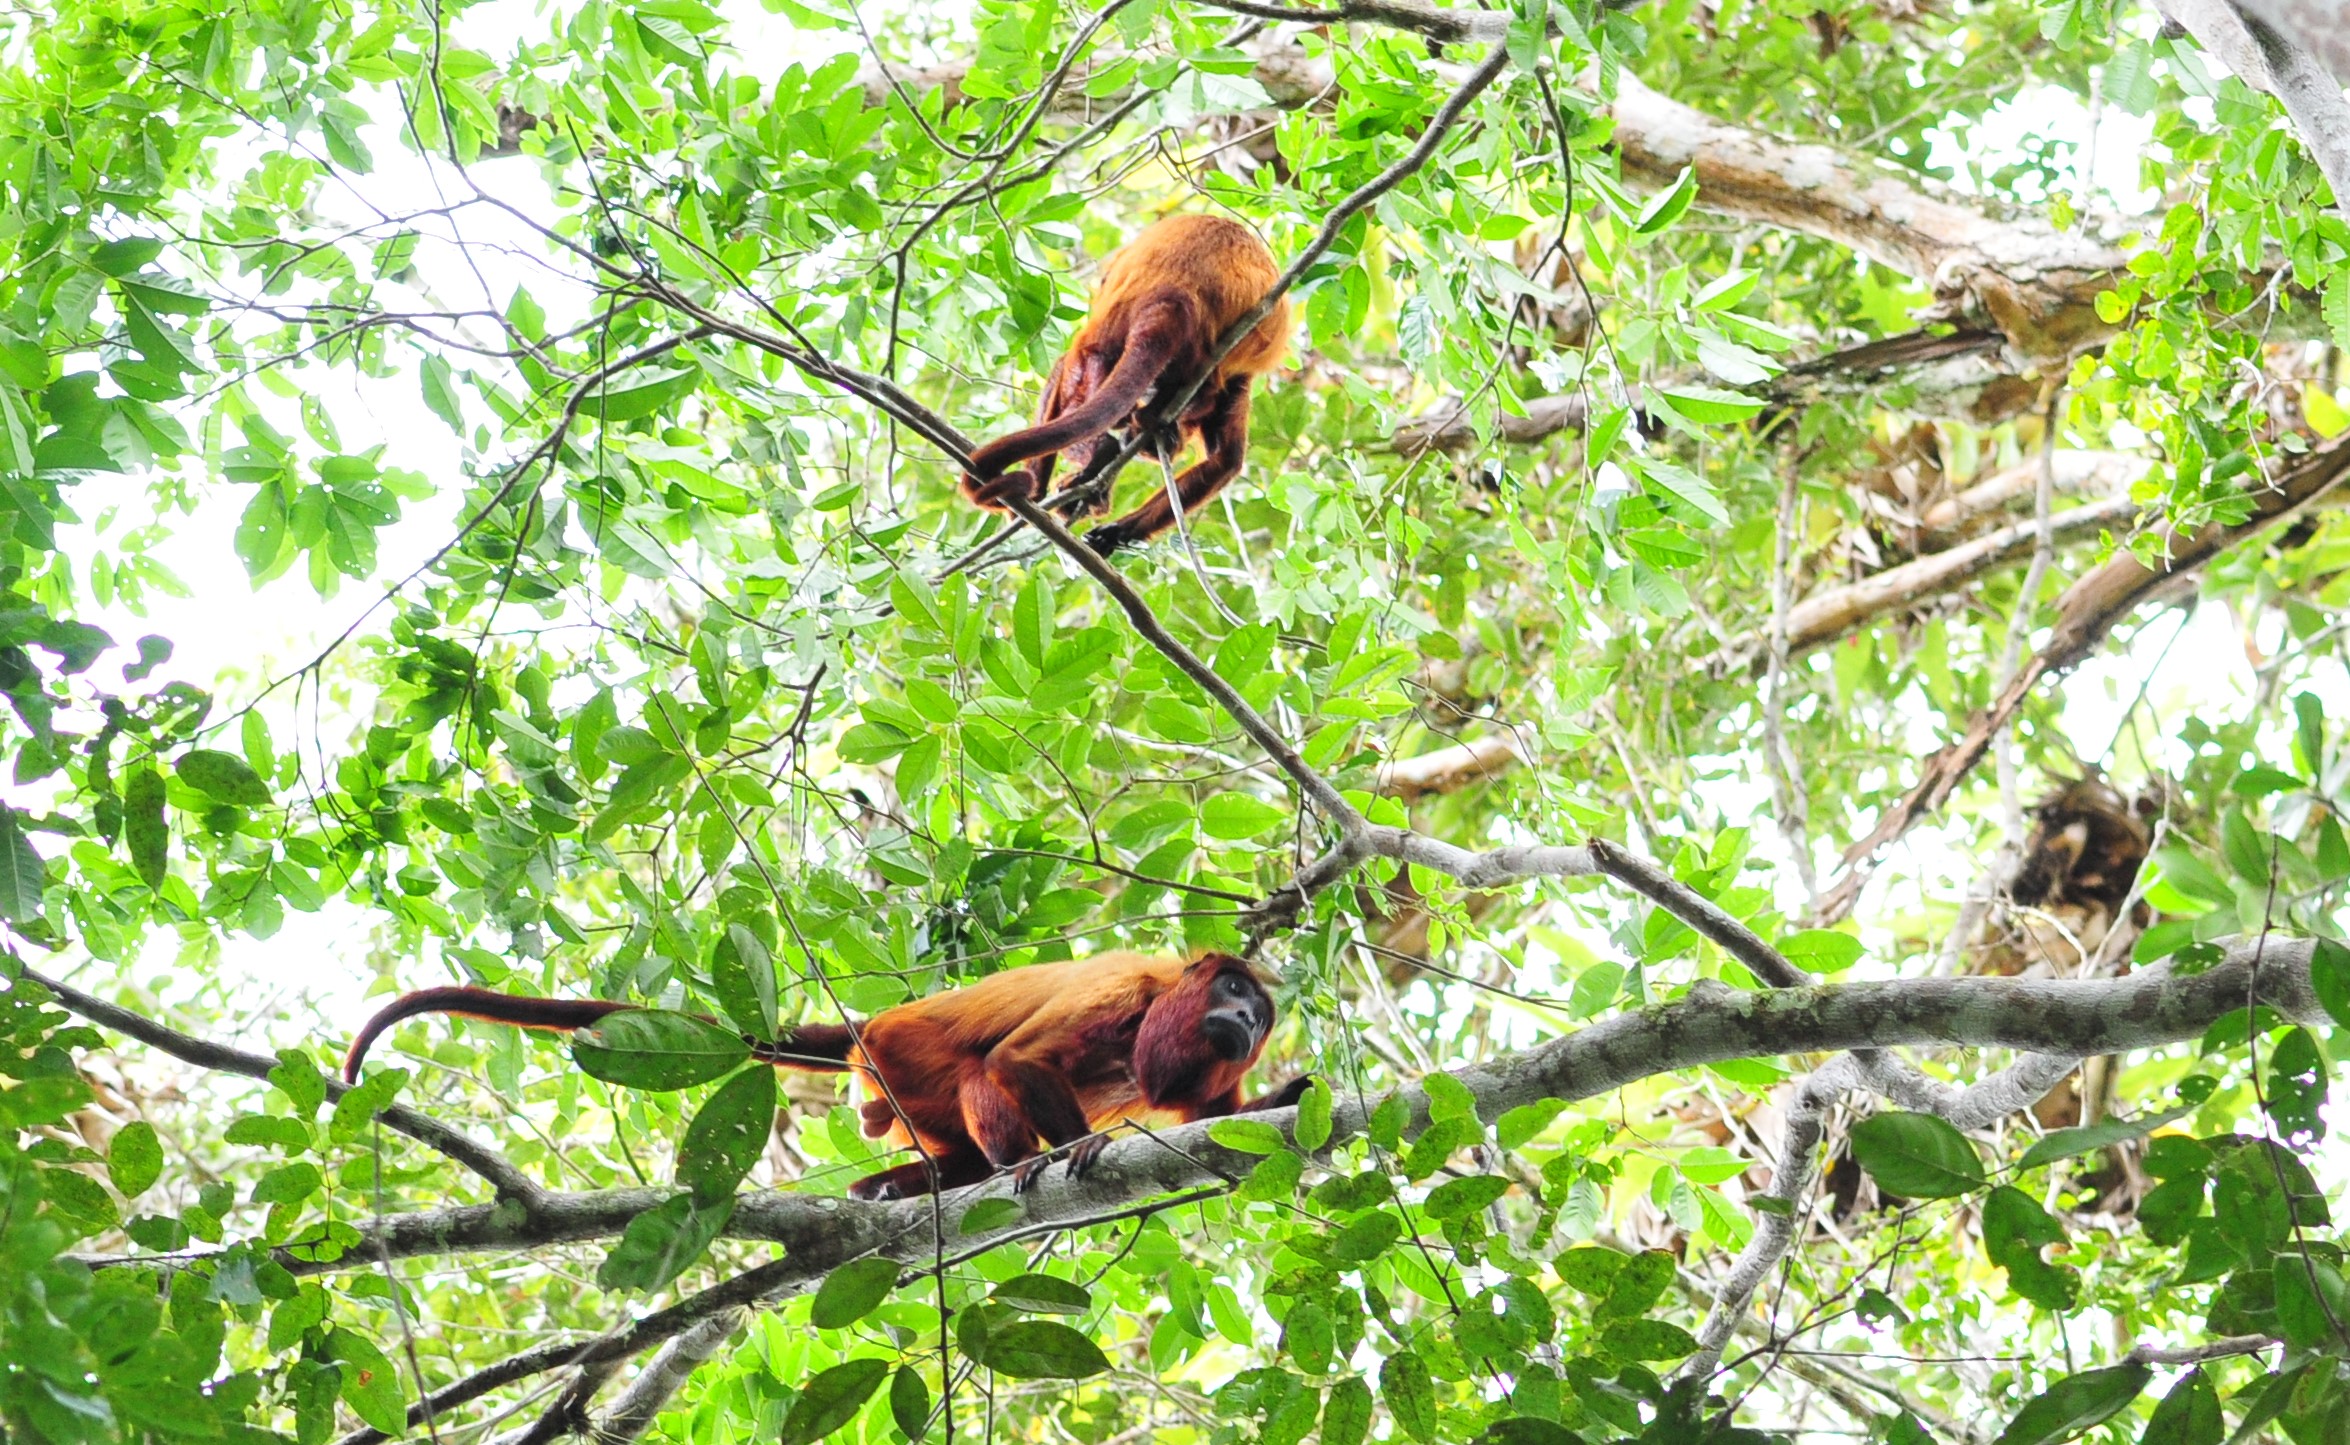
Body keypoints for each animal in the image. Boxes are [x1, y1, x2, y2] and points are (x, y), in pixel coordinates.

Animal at [342, 951, 1310, 1201]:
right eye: (1234, 991)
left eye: (1259, 1018)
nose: (1245, 1022)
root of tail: (868, 1031)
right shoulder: (1128, 985)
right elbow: (1020, 1058)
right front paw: (1065, 1149)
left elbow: (1223, 1118)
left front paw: (1294, 1095)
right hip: (900, 1056)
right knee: (976, 1068)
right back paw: (1009, 1165)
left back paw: (908, 1185)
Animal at [959, 213, 1293, 557]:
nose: (1163, 443)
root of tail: (1173, 295)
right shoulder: (1238, 378)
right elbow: (1224, 460)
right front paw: (1117, 530)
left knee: (1076, 363)